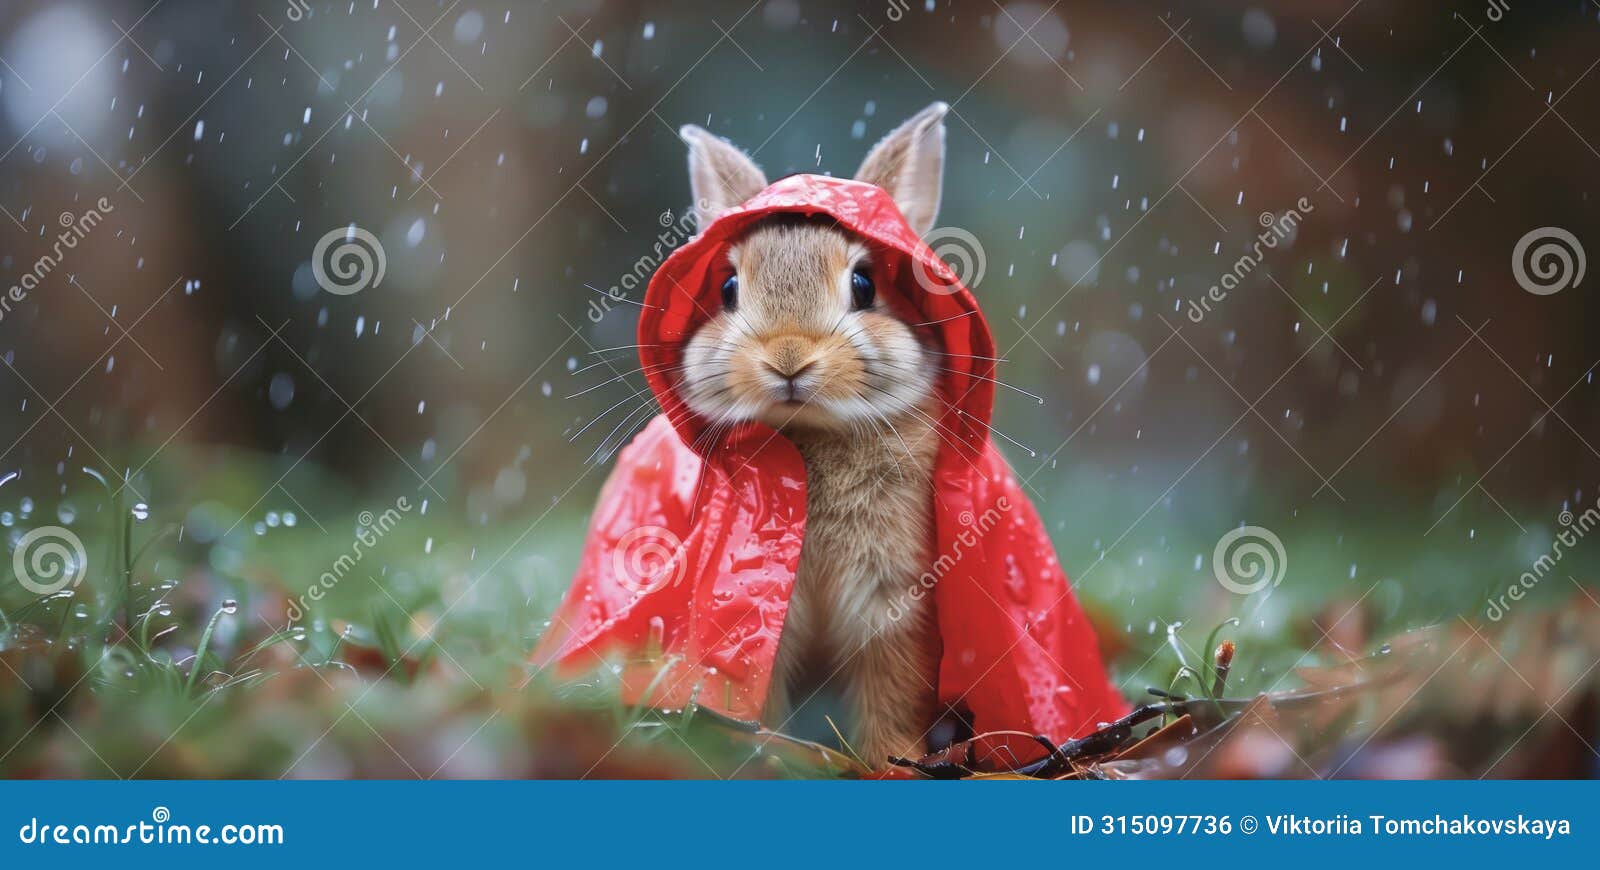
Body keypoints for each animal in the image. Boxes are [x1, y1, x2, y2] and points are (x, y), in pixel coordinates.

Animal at [675, 103, 953, 766]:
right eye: (728, 289)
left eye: (865, 286)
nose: (788, 358)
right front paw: (767, 755)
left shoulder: (895, 599)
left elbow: (891, 685)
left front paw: (893, 762)